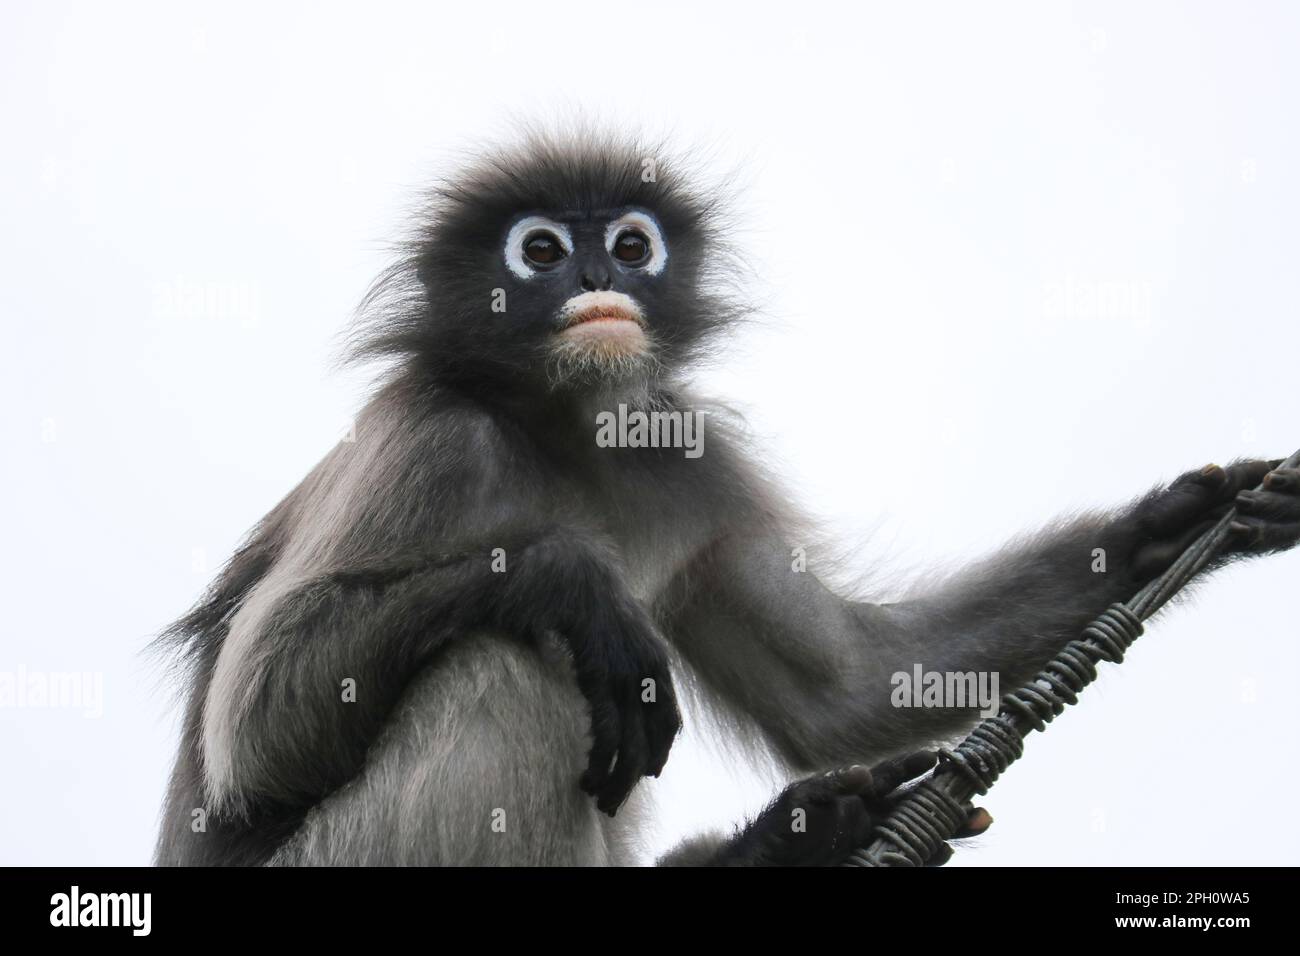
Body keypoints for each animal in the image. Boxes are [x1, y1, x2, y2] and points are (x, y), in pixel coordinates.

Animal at [154, 127, 1300, 866]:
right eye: (539, 248)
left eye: (630, 244)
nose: (595, 280)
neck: (567, 431)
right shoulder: (430, 440)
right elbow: (255, 725)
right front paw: (575, 580)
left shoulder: (690, 459)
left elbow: (846, 686)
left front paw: (1173, 526)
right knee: (508, 666)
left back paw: (782, 848)